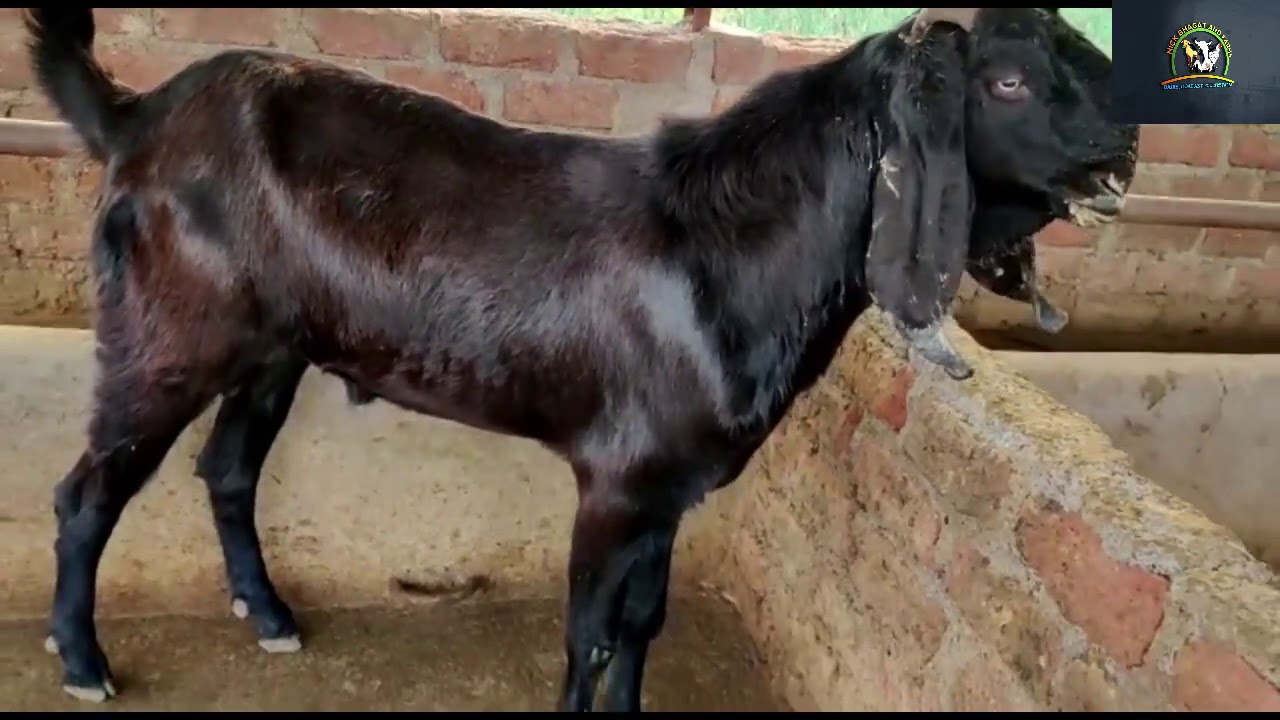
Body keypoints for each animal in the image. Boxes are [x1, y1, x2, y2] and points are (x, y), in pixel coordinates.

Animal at [24, 6, 1136, 711]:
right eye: (1005, 81)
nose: (1123, 147)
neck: (719, 249)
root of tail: (141, 114)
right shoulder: (614, 476)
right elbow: (590, 633)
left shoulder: (672, 485)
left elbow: (643, 624)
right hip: (170, 331)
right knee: (89, 490)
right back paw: (82, 661)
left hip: (272, 348)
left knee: (227, 470)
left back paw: (269, 615)